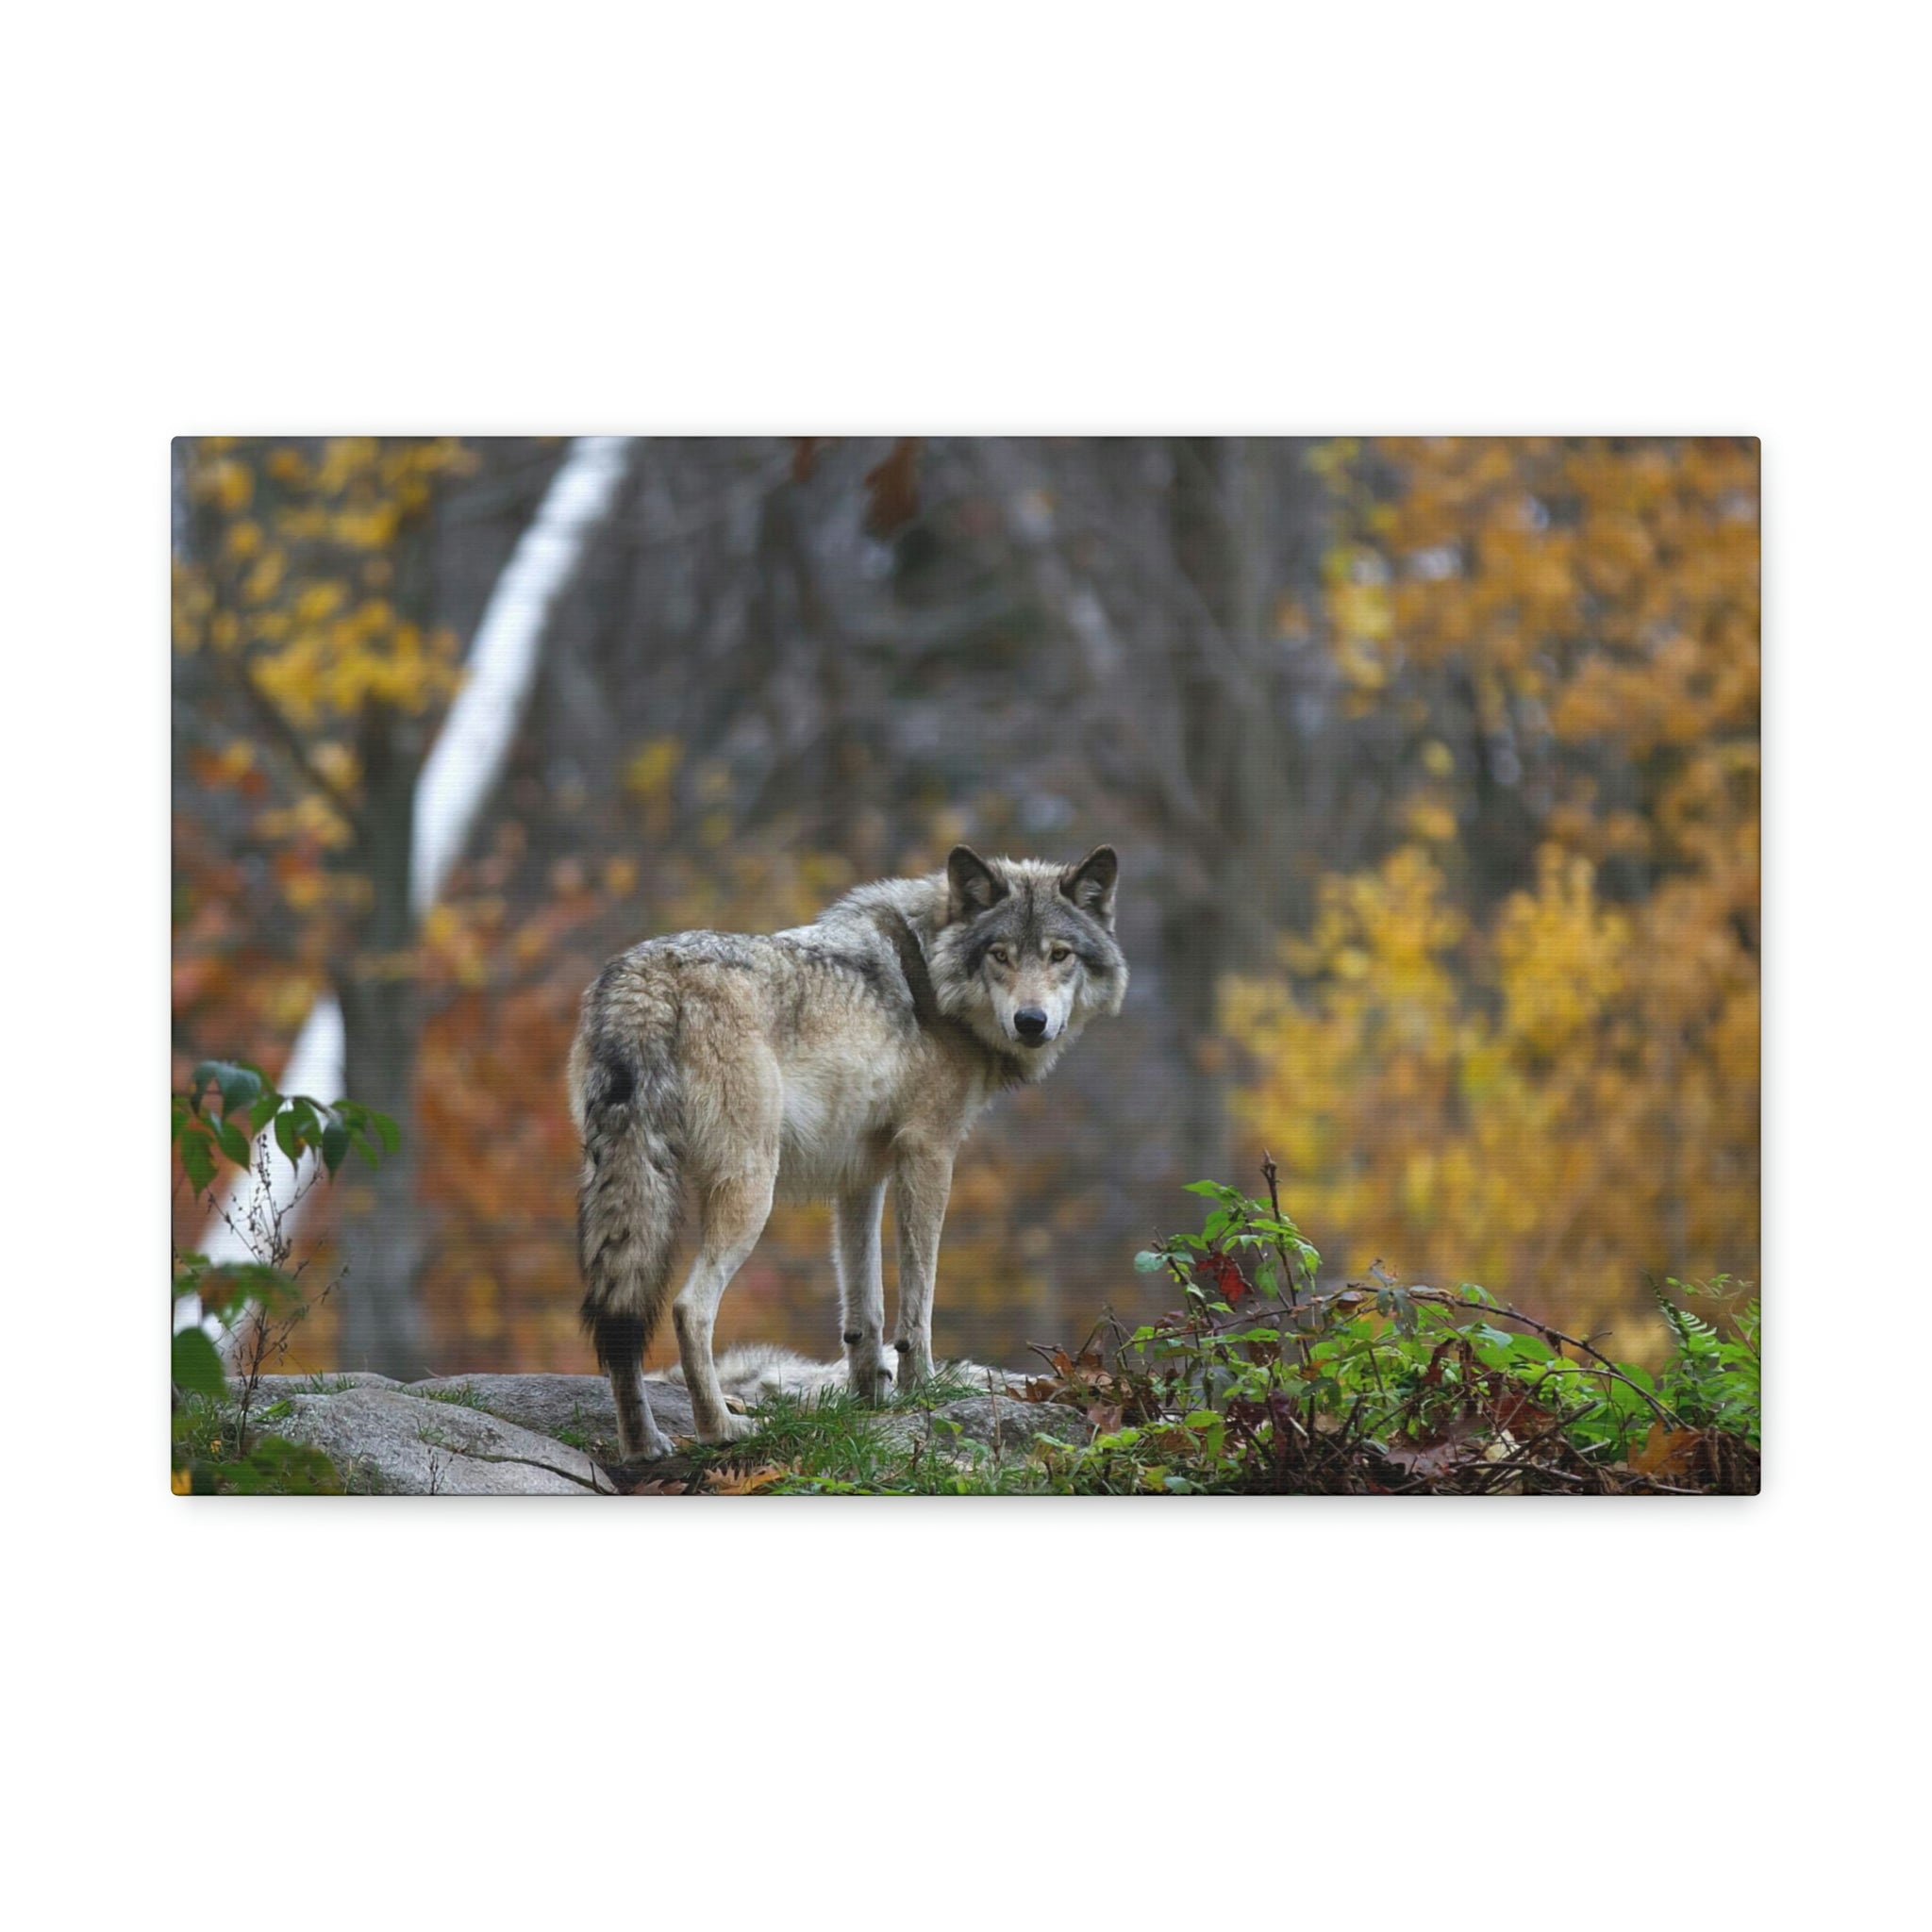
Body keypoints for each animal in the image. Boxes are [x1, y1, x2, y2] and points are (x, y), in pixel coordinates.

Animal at [569, 843, 1127, 1459]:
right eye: (1000, 955)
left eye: (1059, 955)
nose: (1031, 1022)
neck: (931, 976)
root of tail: (645, 978)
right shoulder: (929, 1153)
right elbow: (917, 1300)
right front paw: (919, 1390)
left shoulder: (861, 1176)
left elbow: (866, 1309)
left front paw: (870, 1400)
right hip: (750, 1190)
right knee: (690, 1308)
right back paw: (722, 1428)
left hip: (626, 1182)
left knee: (620, 1317)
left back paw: (643, 1445)